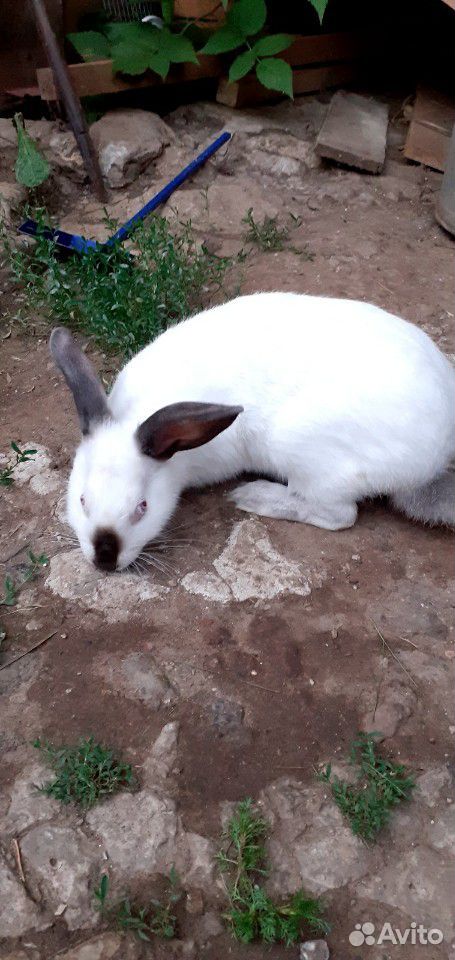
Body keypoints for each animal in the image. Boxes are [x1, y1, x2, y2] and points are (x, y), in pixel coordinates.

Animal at [50, 292, 455, 572]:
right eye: (82, 500)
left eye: (142, 508)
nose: (104, 559)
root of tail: (438, 455)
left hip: (299, 450)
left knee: (340, 514)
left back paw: (252, 496)